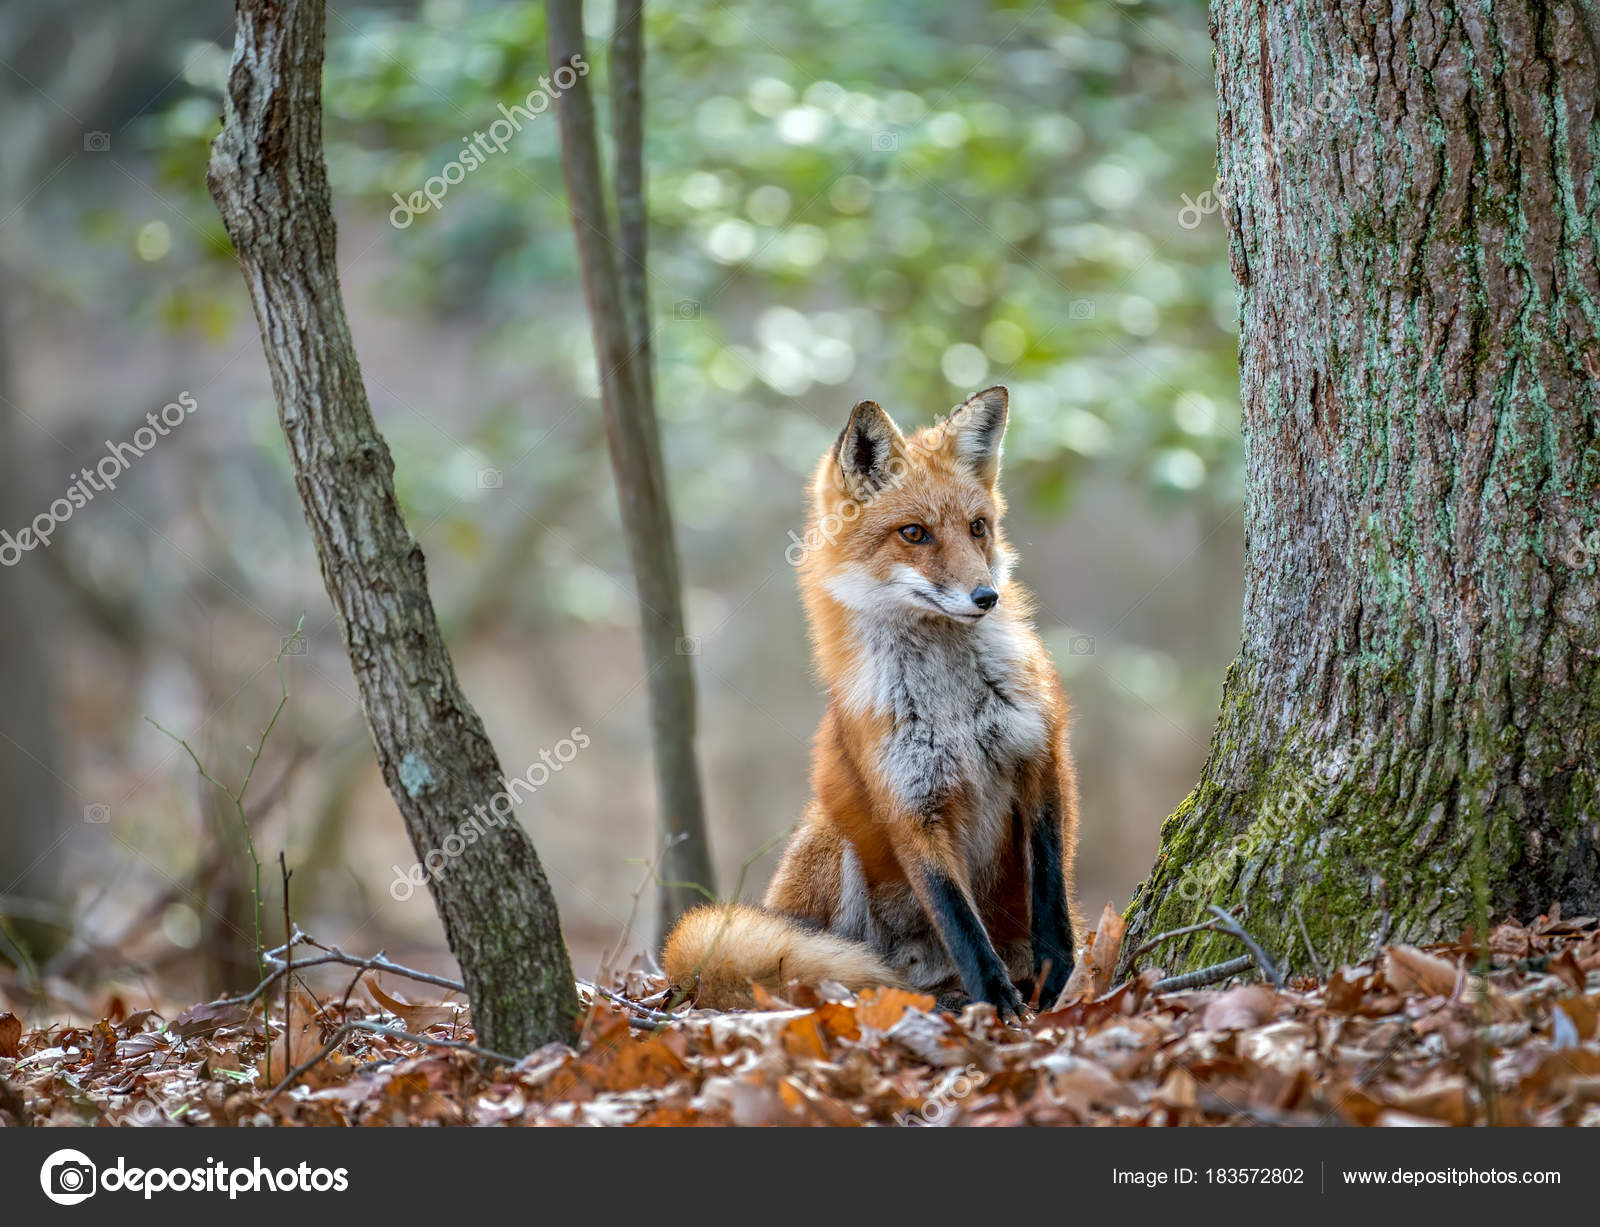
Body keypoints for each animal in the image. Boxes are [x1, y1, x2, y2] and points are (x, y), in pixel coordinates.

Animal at [663, 386, 1081, 1018]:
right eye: (914, 533)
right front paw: (998, 1000)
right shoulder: (909, 802)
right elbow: (959, 918)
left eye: (978, 527)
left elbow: (1052, 888)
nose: (986, 595)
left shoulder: (1041, 760)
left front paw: (1051, 972)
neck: (953, 706)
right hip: (835, 833)